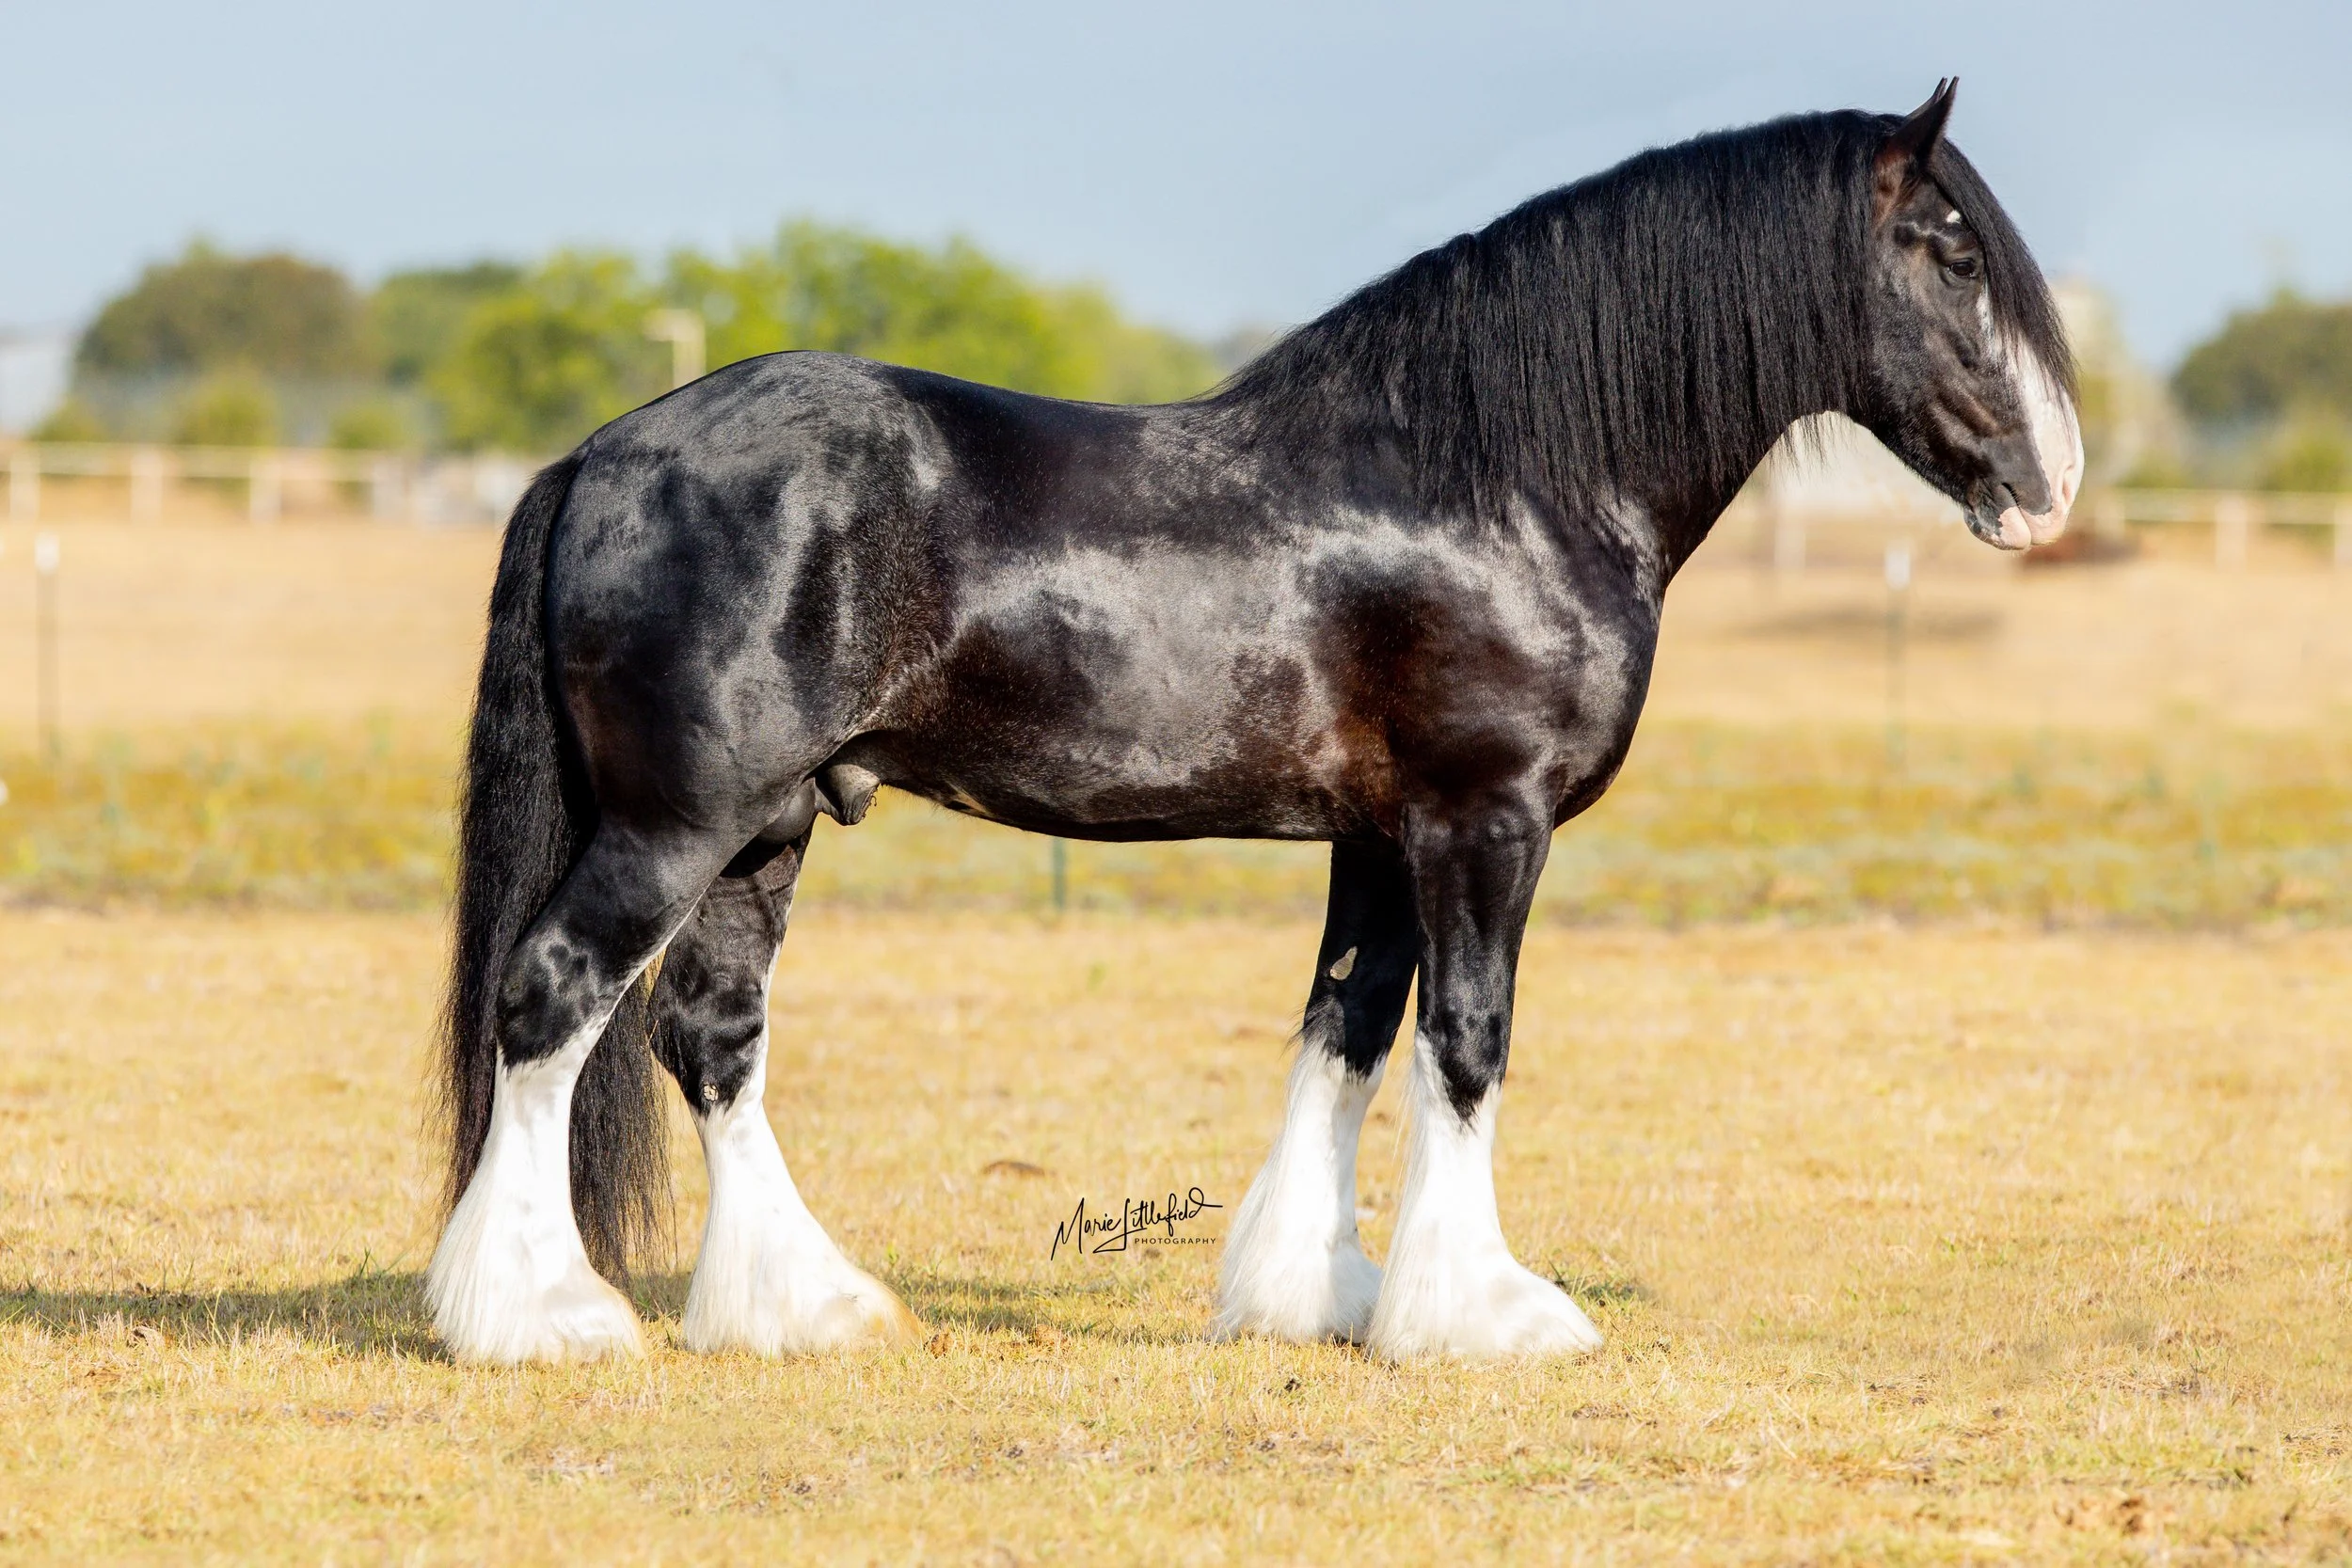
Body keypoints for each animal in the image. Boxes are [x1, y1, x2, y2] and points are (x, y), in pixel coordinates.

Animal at [426, 80, 2079, 1363]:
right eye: (1948, 251)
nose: (2049, 487)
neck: (1497, 479)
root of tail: (603, 450)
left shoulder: (1383, 834)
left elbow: (1349, 1030)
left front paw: (1320, 1293)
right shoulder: (1484, 819)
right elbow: (1469, 1039)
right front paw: (1483, 1312)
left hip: (766, 826)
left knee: (709, 1029)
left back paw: (806, 1304)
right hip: (676, 822)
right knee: (552, 995)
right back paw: (539, 1314)